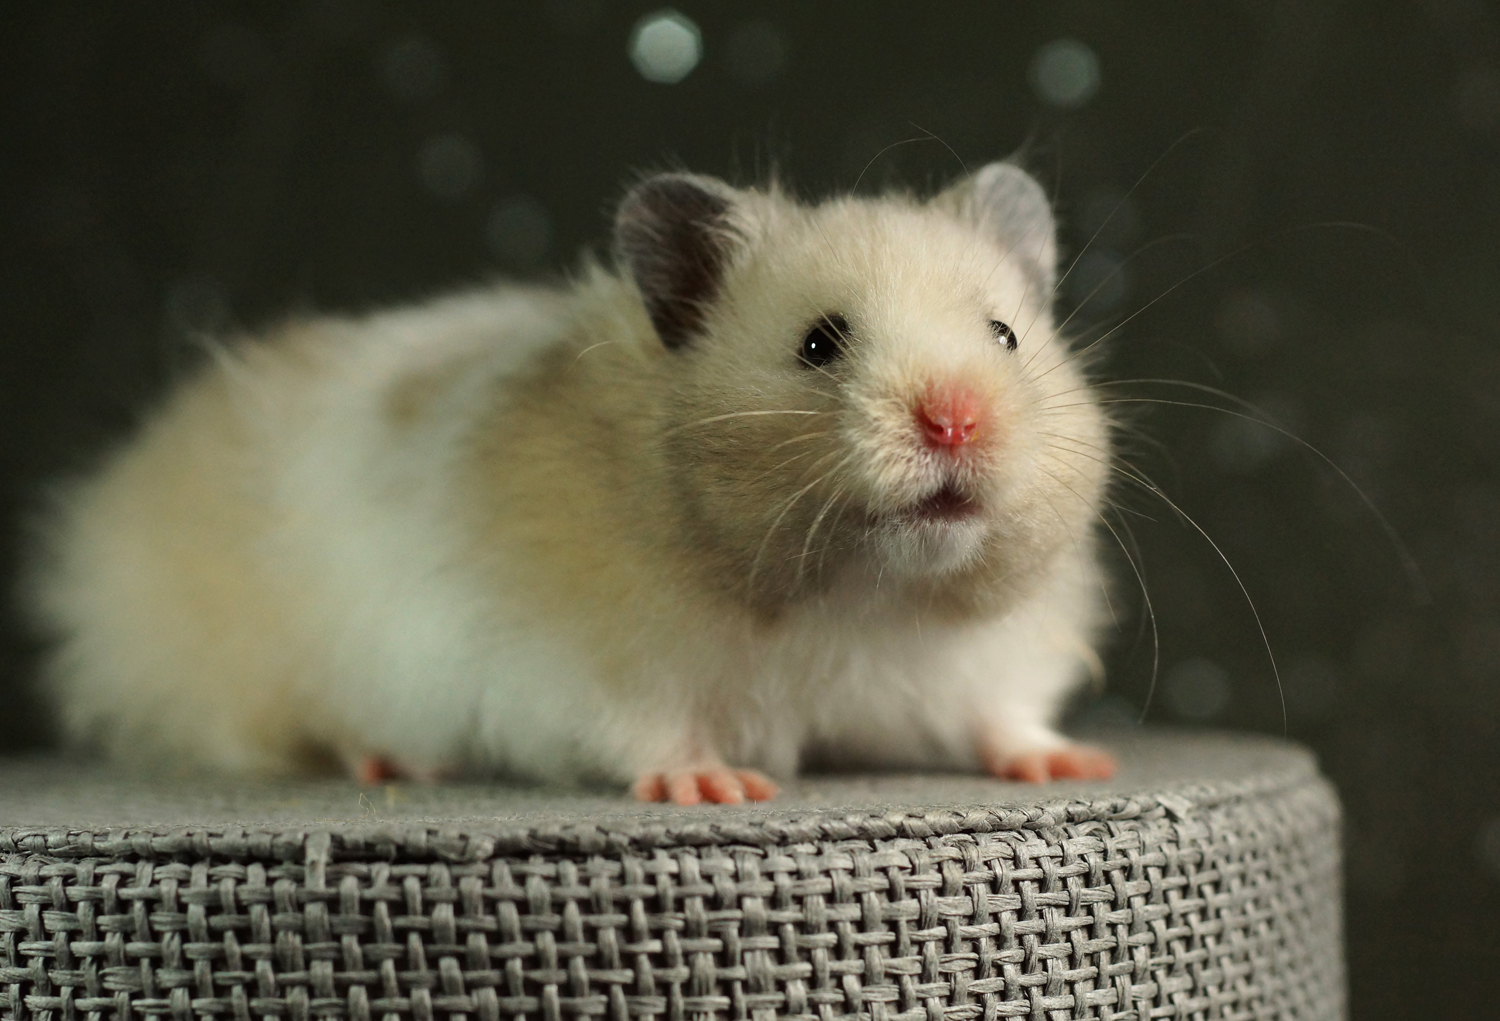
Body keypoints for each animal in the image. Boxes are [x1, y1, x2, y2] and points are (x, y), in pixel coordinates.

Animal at [26, 160, 1117, 804]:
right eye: (819, 342)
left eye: (1005, 336)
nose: (956, 419)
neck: (852, 596)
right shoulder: (579, 661)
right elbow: (642, 726)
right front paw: (716, 784)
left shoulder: (977, 659)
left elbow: (999, 713)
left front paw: (1070, 761)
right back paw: (392, 759)